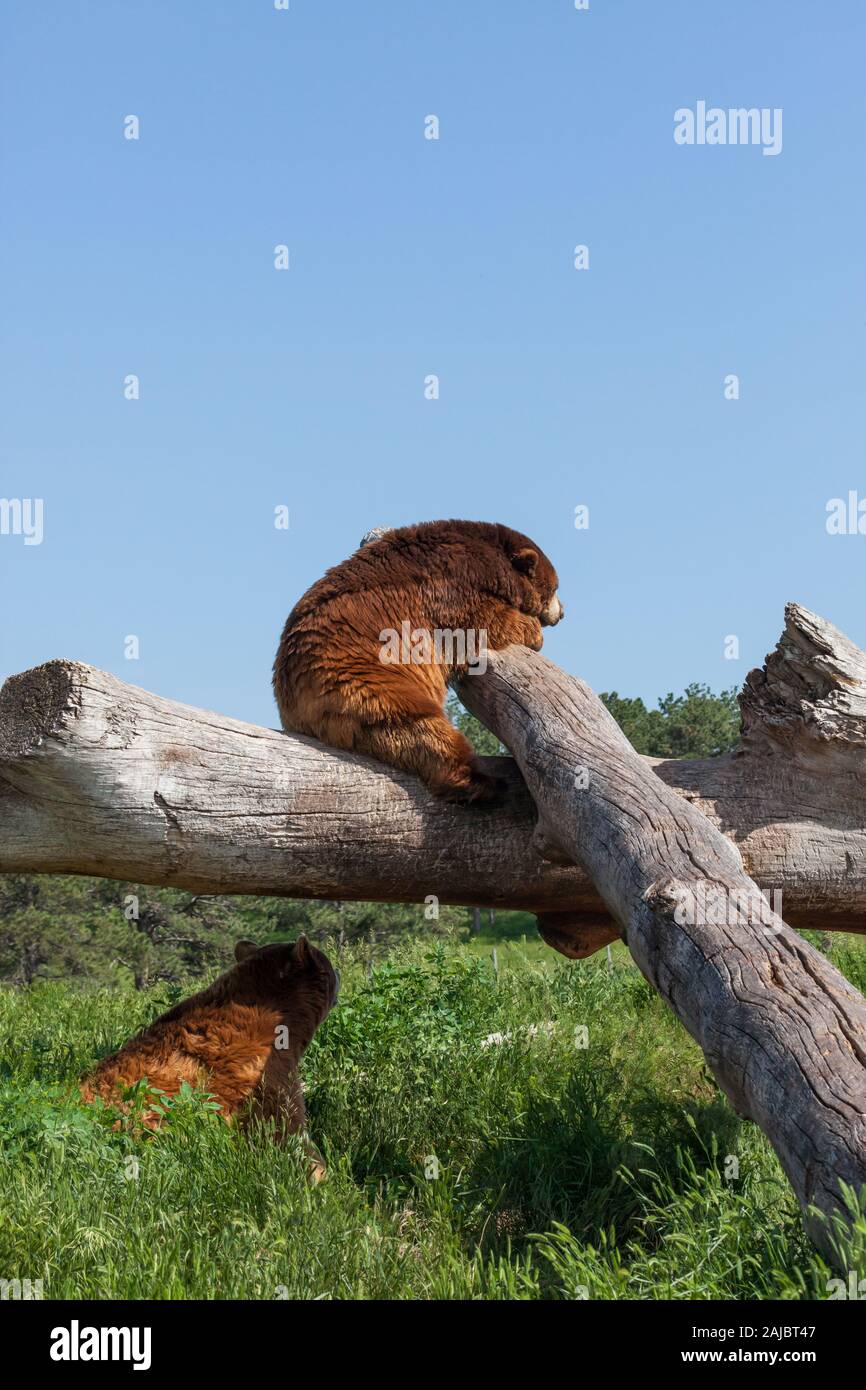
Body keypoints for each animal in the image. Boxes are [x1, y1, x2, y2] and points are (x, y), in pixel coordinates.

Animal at [273, 519, 564, 802]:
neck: (490, 564)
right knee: (421, 724)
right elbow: (485, 621)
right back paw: (484, 783)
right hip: (363, 680)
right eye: (555, 588)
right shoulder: (449, 590)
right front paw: (533, 631)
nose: (562, 613)